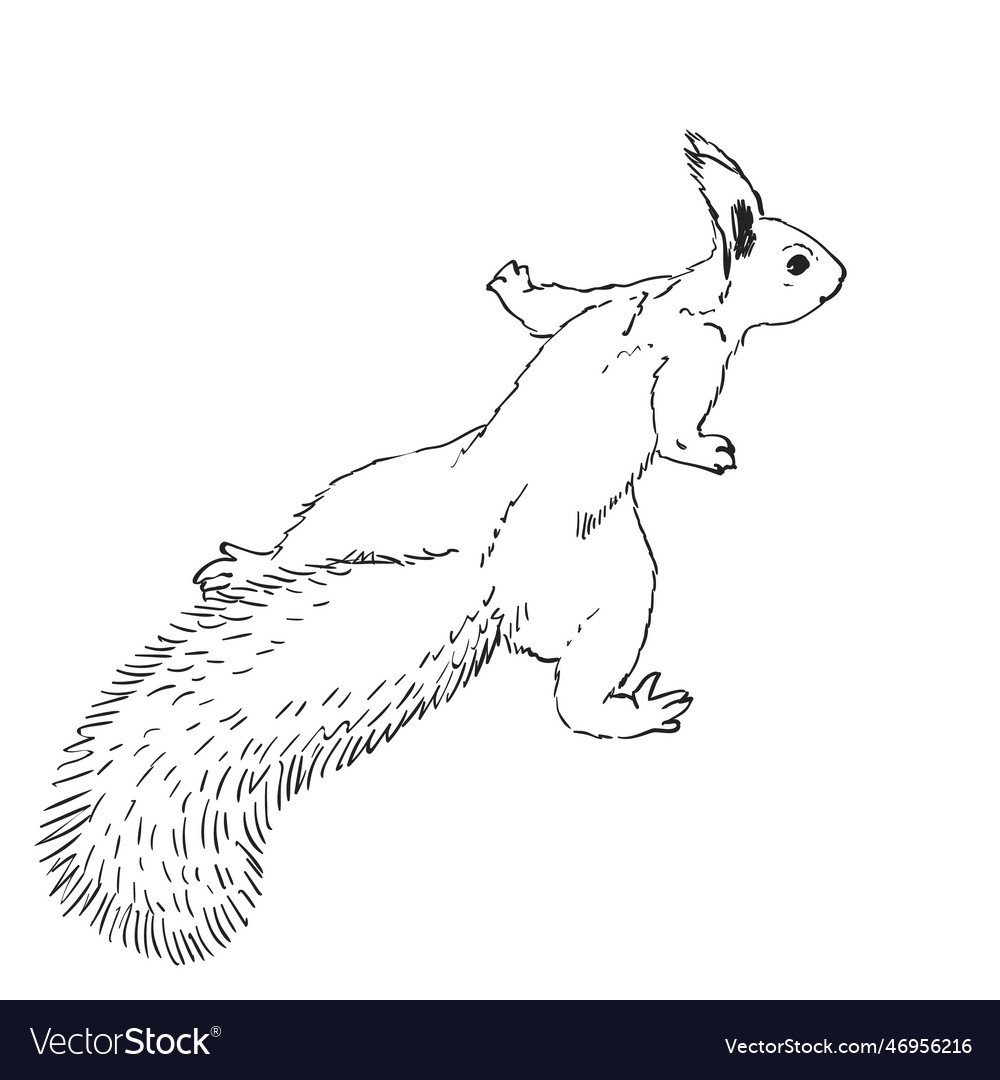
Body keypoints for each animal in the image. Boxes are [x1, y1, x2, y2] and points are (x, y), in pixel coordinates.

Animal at [39, 133, 845, 963]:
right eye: (797, 261)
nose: (842, 275)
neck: (684, 300)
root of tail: (492, 573)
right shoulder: (688, 361)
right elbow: (673, 428)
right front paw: (709, 451)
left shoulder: (616, 303)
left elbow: (547, 310)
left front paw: (514, 283)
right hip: (608, 580)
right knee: (576, 698)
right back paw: (632, 711)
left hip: (372, 504)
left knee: (304, 553)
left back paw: (249, 566)